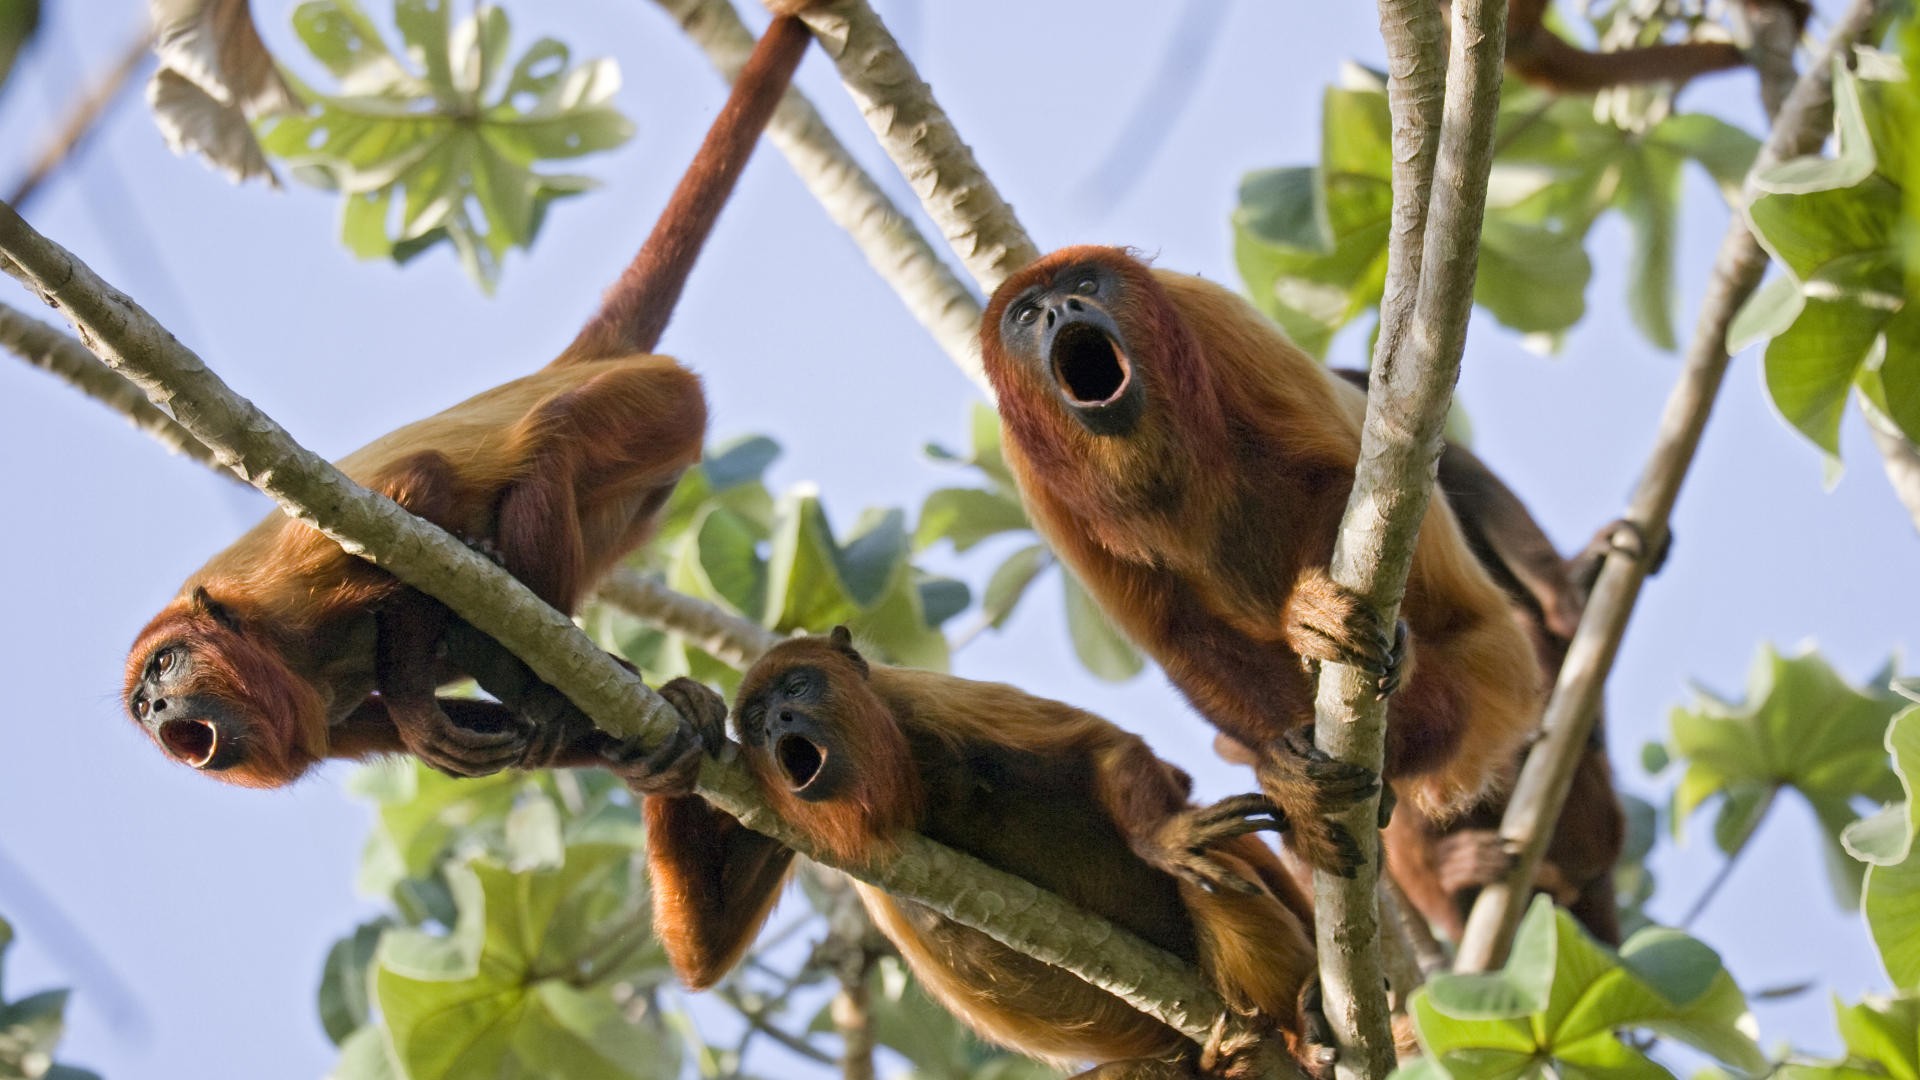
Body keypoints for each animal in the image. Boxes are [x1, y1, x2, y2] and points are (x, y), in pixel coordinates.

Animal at [121, 10, 823, 788]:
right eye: (141, 704)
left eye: (165, 665)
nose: (156, 709)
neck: (268, 645)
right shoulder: (318, 718)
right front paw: (667, 723)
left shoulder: (284, 582)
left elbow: (417, 495)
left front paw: (414, 702)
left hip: (660, 400)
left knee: (556, 437)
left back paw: (535, 669)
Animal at [621, 628, 1324, 1078]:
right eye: (755, 718)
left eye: (797, 686)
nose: (777, 726)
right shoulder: (766, 796)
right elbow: (705, 954)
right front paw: (681, 718)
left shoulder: (927, 700)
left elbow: (1114, 751)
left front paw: (1167, 836)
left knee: (1218, 883)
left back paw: (1300, 1029)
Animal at [978, 246, 1544, 878]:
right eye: (1027, 315)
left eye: (1085, 283)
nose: (1063, 309)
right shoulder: (1033, 475)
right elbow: (1177, 632)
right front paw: (1286, 771)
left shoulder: (1216, 319)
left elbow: (1342, 480)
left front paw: (1313, 613)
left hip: (1487, 681)